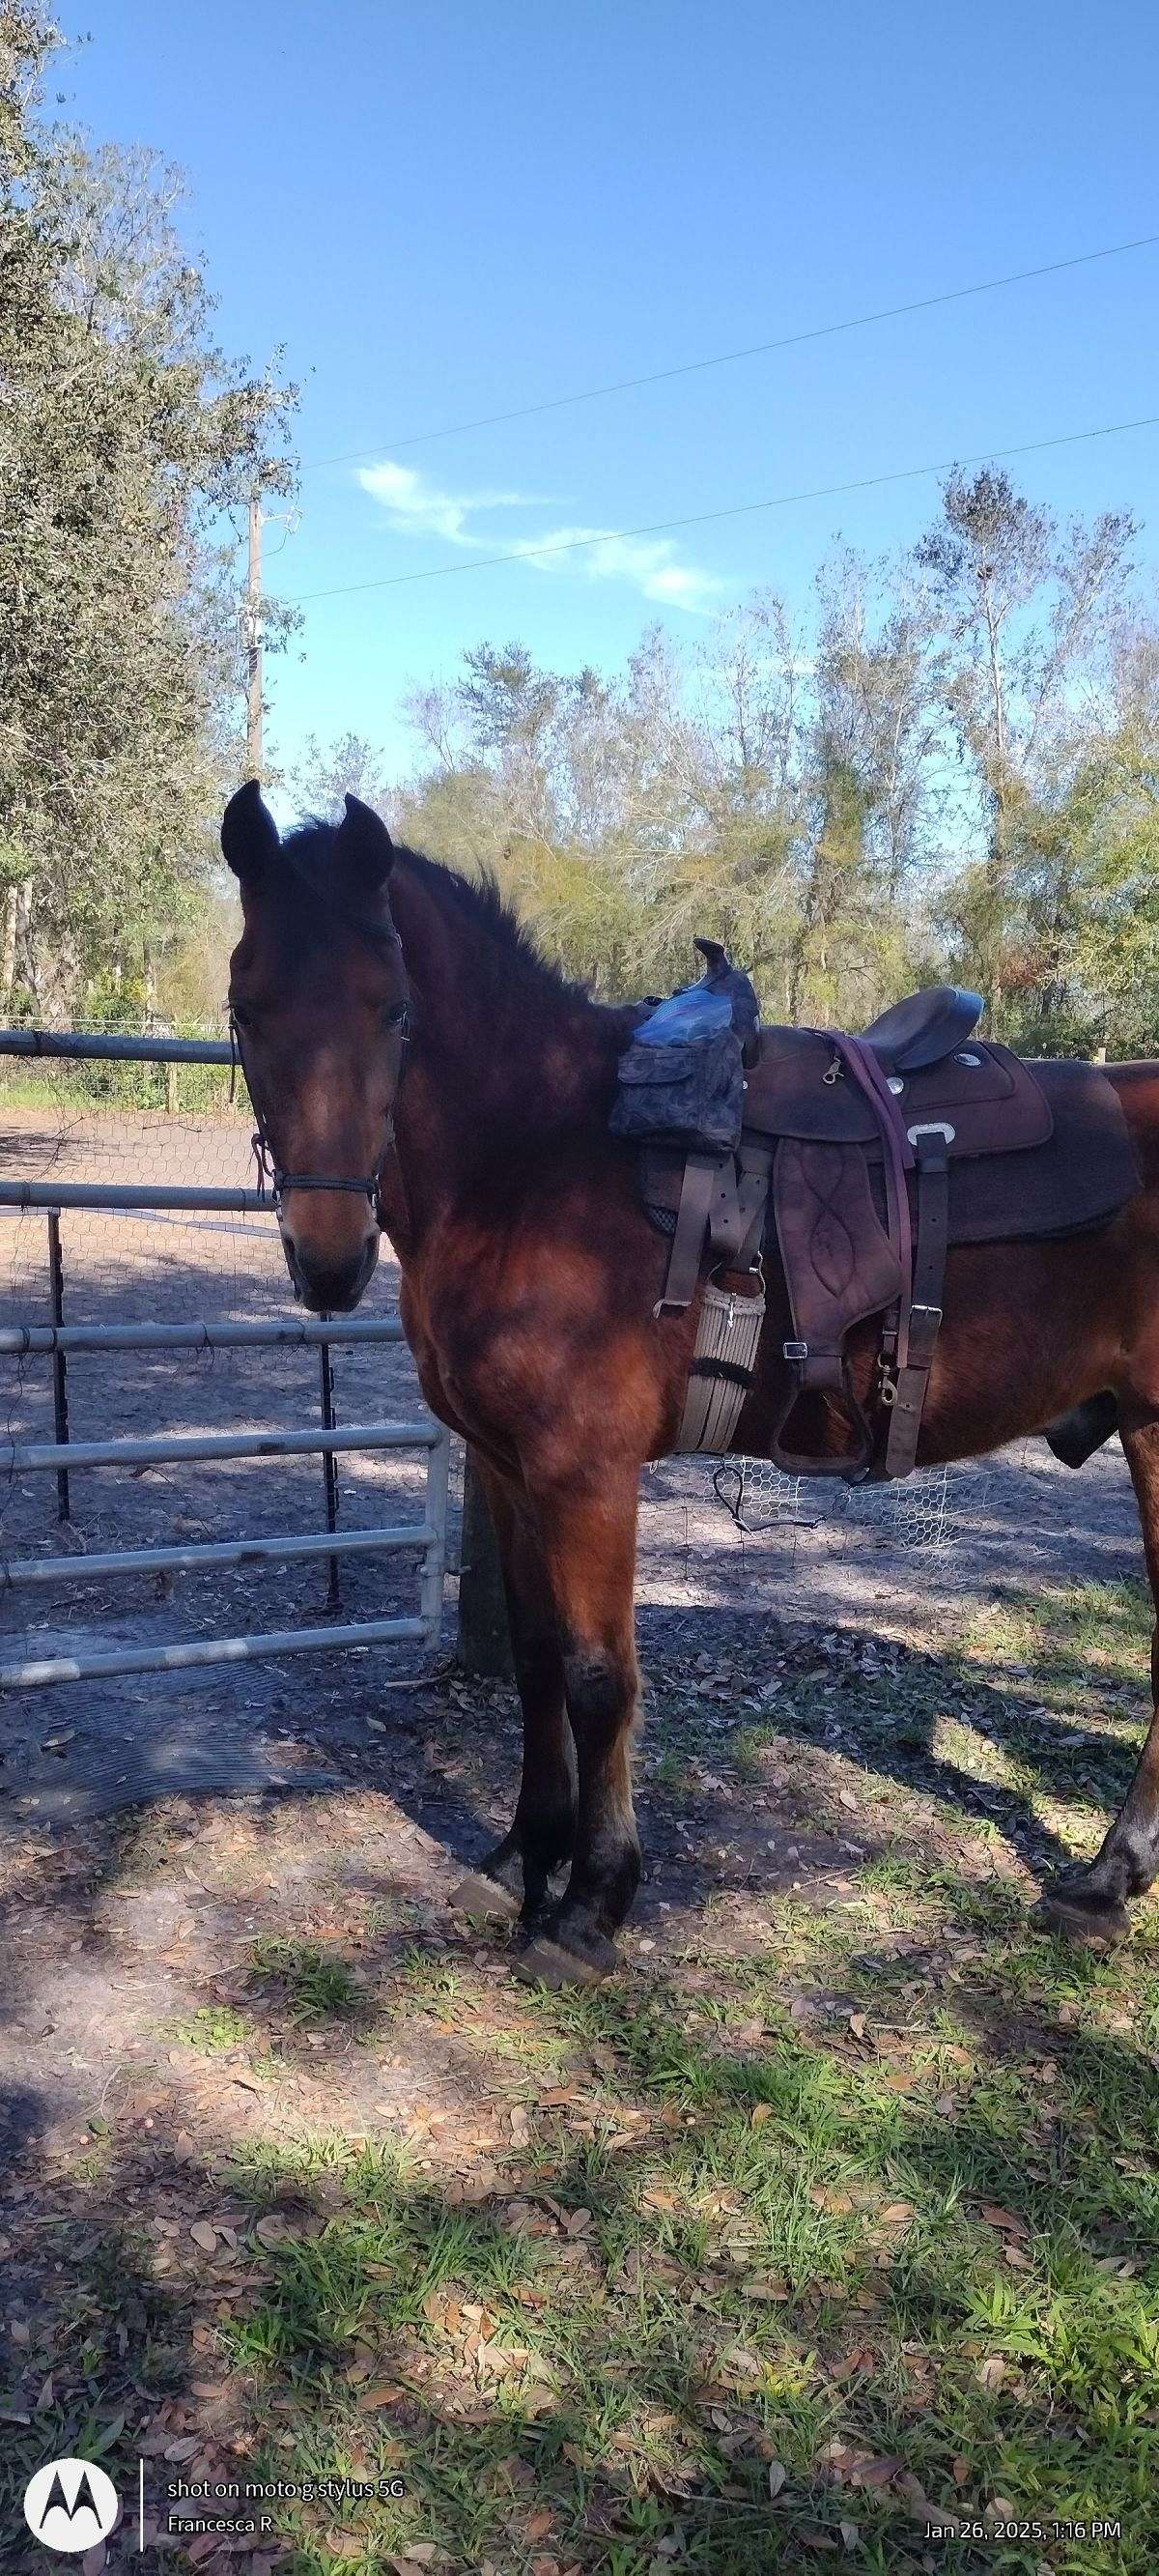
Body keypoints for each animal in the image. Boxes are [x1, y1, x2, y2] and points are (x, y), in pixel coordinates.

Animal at [222, 779, 1159, 1985]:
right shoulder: (507, 1466)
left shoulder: (587, 1472)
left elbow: (598, 1677)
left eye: (395, 1012)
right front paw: (525, 1857)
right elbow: (535, 1659)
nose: (330, 1260)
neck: (539, 1157)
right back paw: (1109, 1878)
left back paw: (1106, 1877)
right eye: (247, 1009)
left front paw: (592, 1904)